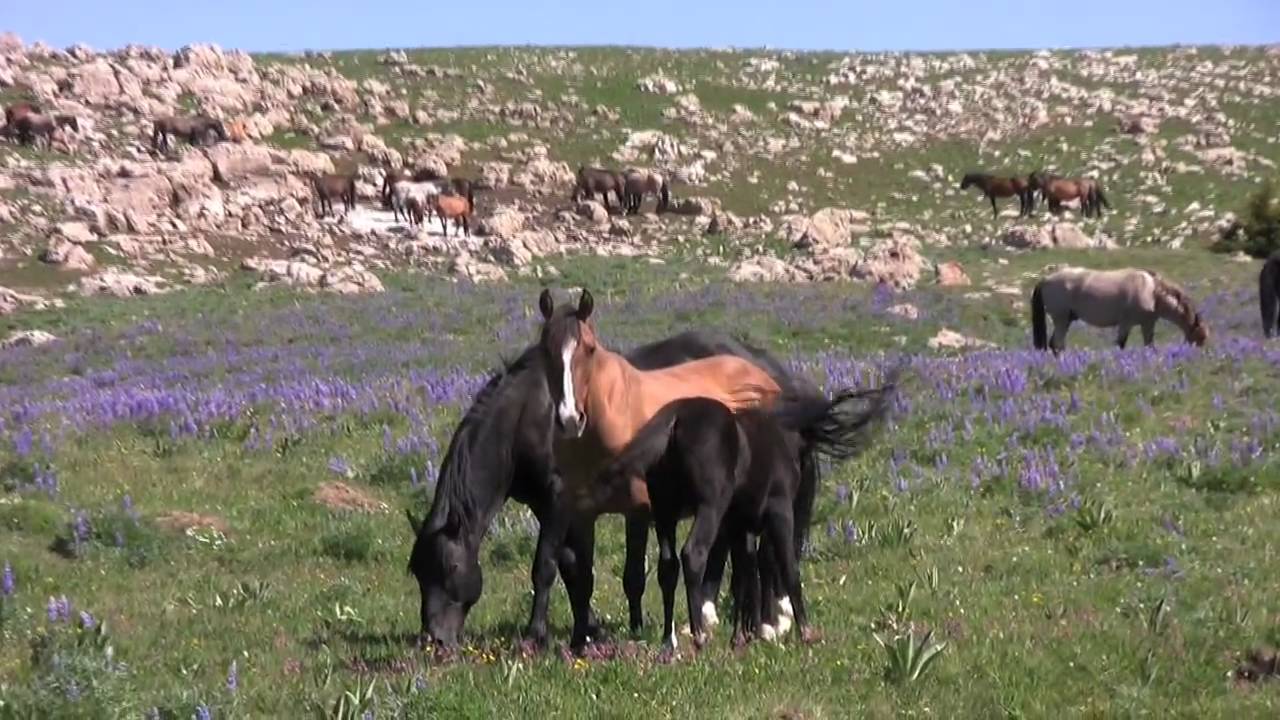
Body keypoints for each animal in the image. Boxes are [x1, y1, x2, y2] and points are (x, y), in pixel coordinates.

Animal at [405, 328, 827, 649]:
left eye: (451, 566)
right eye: (417, 573)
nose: (434, 640)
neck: (531, 415)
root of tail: (769, 371)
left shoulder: (561, 501)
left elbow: (546, 566)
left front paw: (536, 634)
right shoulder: (558, 508)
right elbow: (574, 568)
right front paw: (590, 627)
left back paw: (769, 623)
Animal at [593, 383, 893, 651]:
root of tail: (676, 421)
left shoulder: (739, 527)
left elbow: (743, 578)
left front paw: (743, 635)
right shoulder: (777, 515)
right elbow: (787, 568)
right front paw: (803, 632)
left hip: (666, 514)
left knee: (668, 567)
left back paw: (670, 640)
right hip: (708, 509)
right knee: (693, 554)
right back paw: (699, 635)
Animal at [1031, 267, 1209, 352]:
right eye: (1199, 338)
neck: (1151, 291)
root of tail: (1045, 280)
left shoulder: (1147, 324)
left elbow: (1149, 345)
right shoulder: (1126, 323)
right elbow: (1120, 344)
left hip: (1066, 320)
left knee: (1055, 344)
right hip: (1061, 319)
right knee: (1057, 344)